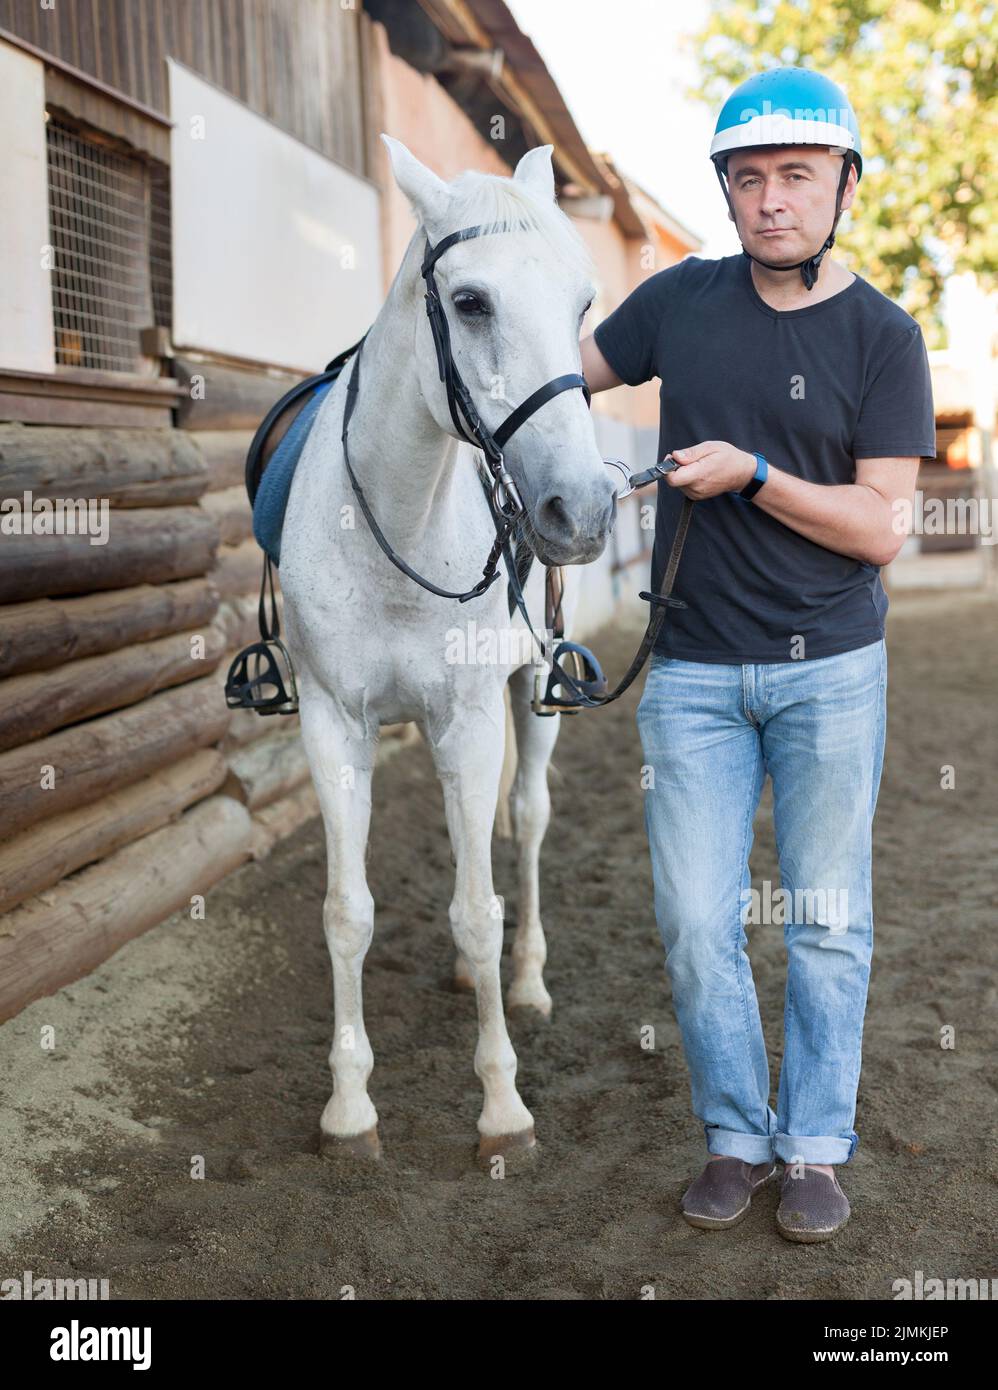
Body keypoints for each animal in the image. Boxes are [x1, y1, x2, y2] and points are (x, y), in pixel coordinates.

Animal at [277, 135, 617, 1161]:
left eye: (583, 304)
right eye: (470, 302)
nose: (583, 512)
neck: (394, 520)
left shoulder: (469, 720)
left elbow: (478, 908)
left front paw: (503, 1110)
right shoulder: (334, 726)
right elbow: (347, 913)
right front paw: (349, 1110)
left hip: (527, 696)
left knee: (528, 824)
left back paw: (526, 981)